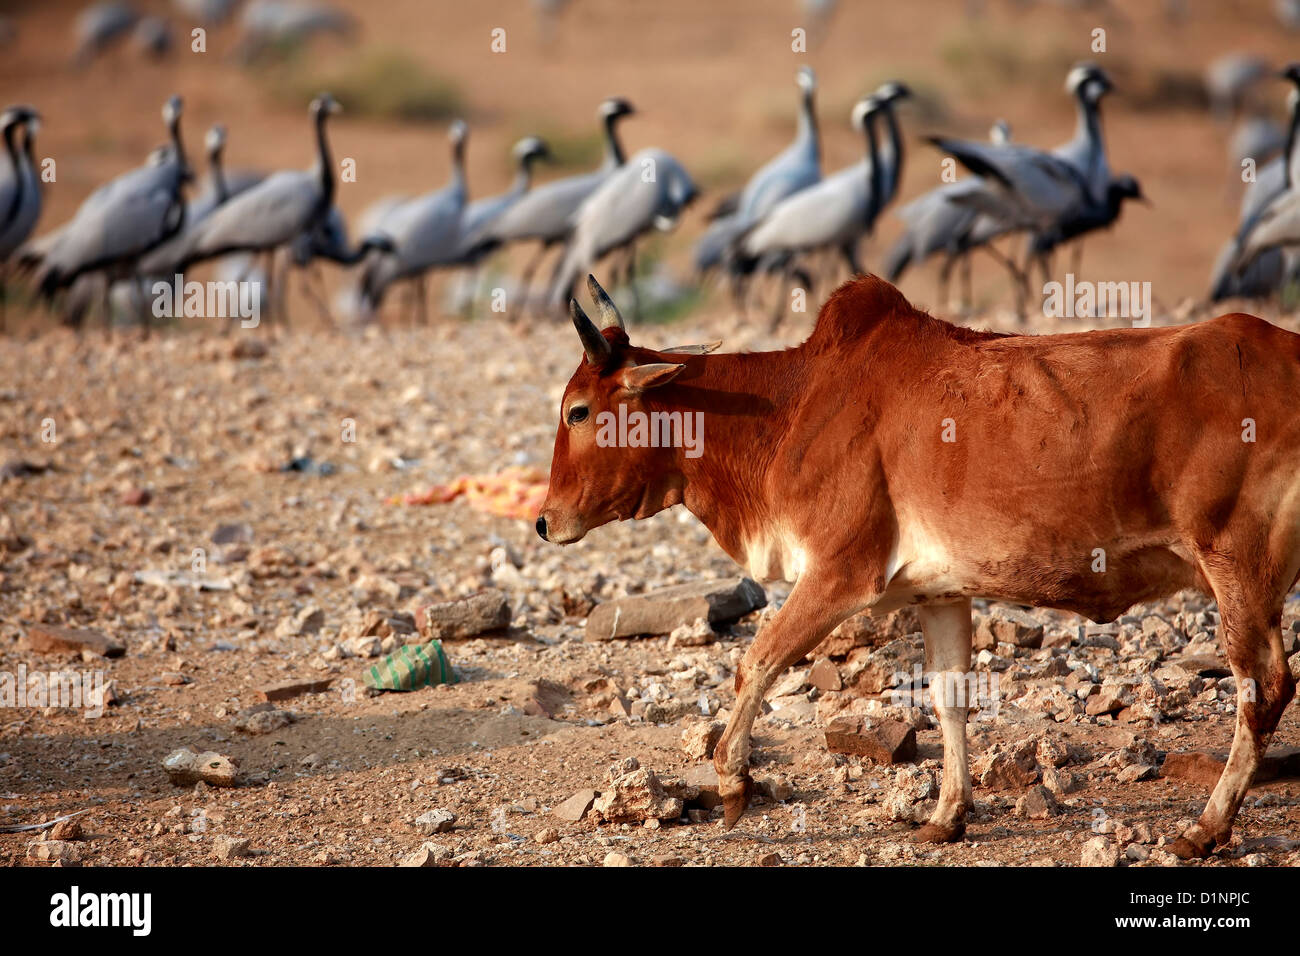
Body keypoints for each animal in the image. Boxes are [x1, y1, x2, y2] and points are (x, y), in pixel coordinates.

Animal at [537, 273, 1300, 859]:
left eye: (578, 411)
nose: (545, 521)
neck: (790, 408)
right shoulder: (940, 593)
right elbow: (950, 698)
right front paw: (946, 816)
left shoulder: (839, 574)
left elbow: (755, 662)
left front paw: (730, 783)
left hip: (1237, 564)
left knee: (1262, 687)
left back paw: (1205, 829)